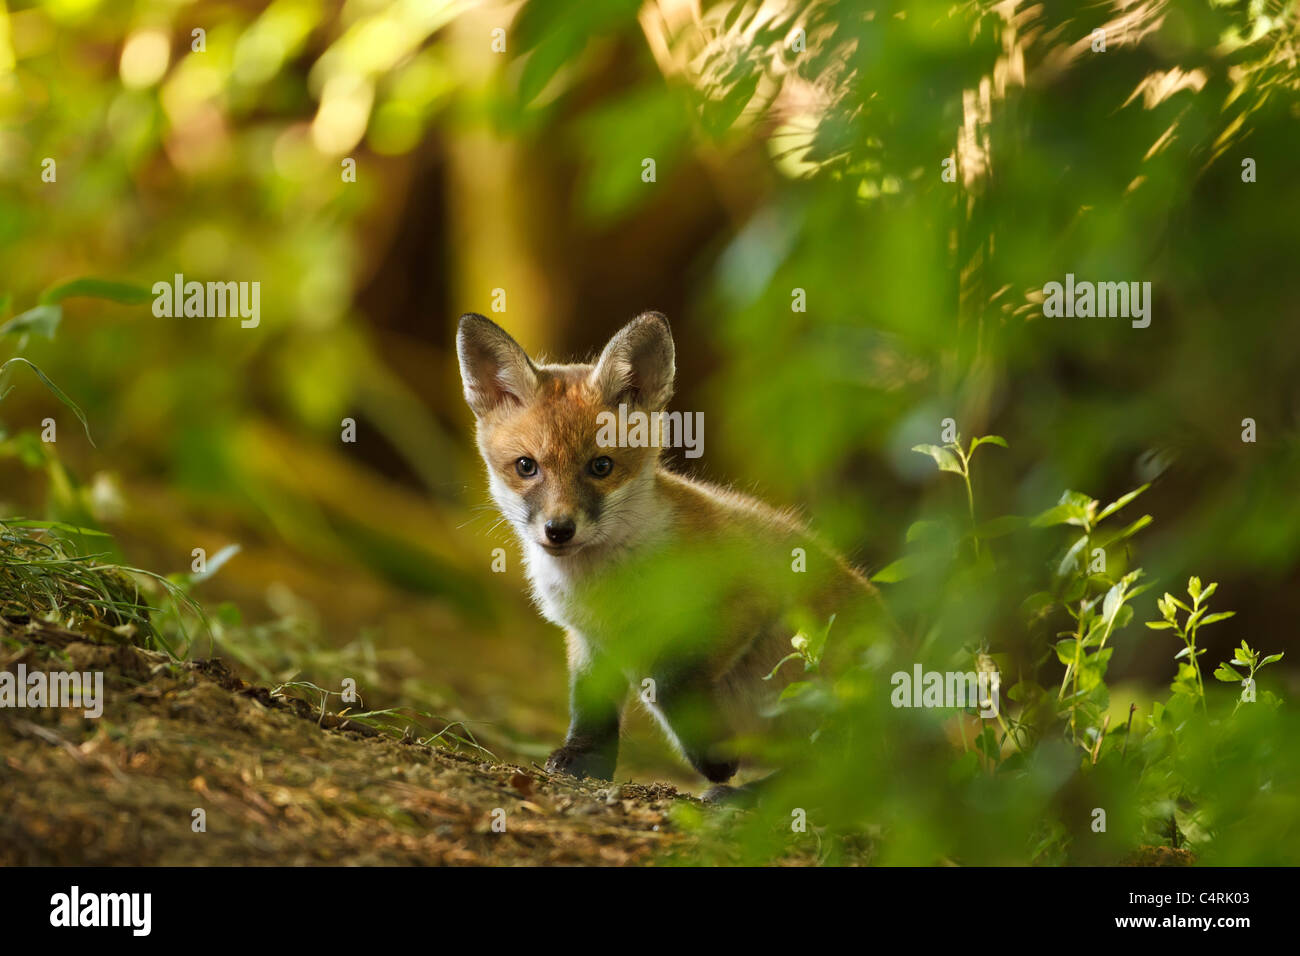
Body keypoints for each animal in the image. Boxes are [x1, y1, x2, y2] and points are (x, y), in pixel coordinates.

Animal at [457, 310, 886, 799]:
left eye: (601, 466)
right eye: (527, 466)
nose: (559, 530)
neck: (601, 585)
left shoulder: (745, 601)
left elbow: (667, 683)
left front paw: (714, 759)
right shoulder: (586, 636)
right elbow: (590, 708)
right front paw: (585, 761)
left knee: (837, 772)